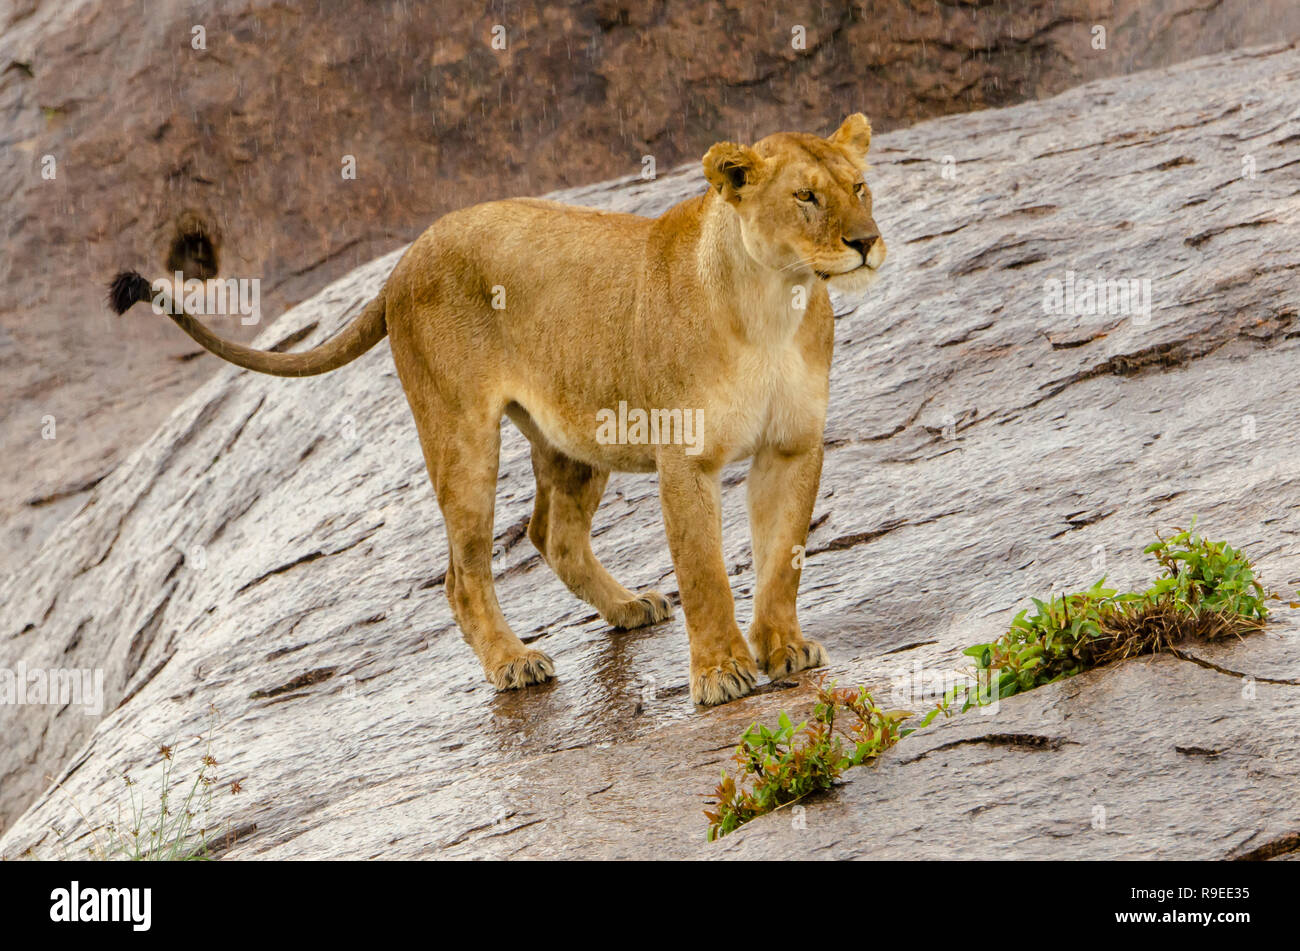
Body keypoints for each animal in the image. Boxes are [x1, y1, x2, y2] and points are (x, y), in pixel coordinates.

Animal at [108, 114, 886, 705]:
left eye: (859, 186)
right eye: (806, 196)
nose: (867, 242)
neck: (775, 301)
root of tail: (403, 259)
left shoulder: (792, 444)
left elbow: (782, 558)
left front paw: (784, 649)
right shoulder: (685, 458)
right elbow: (706, 573)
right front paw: (722, 673)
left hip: (575, 434)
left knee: (552, 534)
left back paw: (628, 608)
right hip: (461, 437)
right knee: (464, 573)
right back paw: (514, 662)